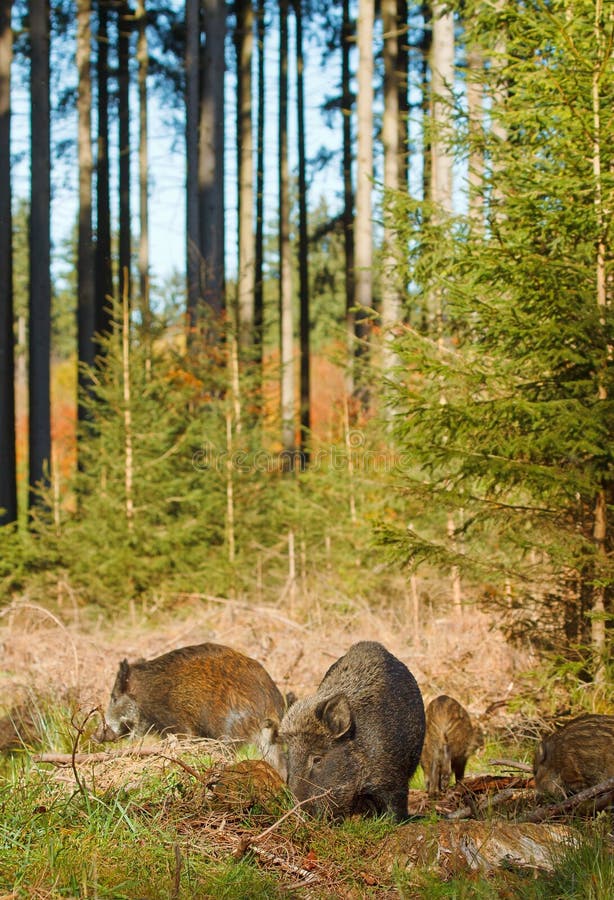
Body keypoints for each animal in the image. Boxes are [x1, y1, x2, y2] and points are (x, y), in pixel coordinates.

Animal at [95, 642, 287, 775]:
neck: (147, 696)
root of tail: (269, 704)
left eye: (114, 698)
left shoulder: (178, 723)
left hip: (226, 732)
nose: (95, 736)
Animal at [278, 641, 426, 821]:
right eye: (289, 757)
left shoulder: (394, 775)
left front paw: (390, 821)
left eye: (317, 759)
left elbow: (395, 801)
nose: (297, 813)